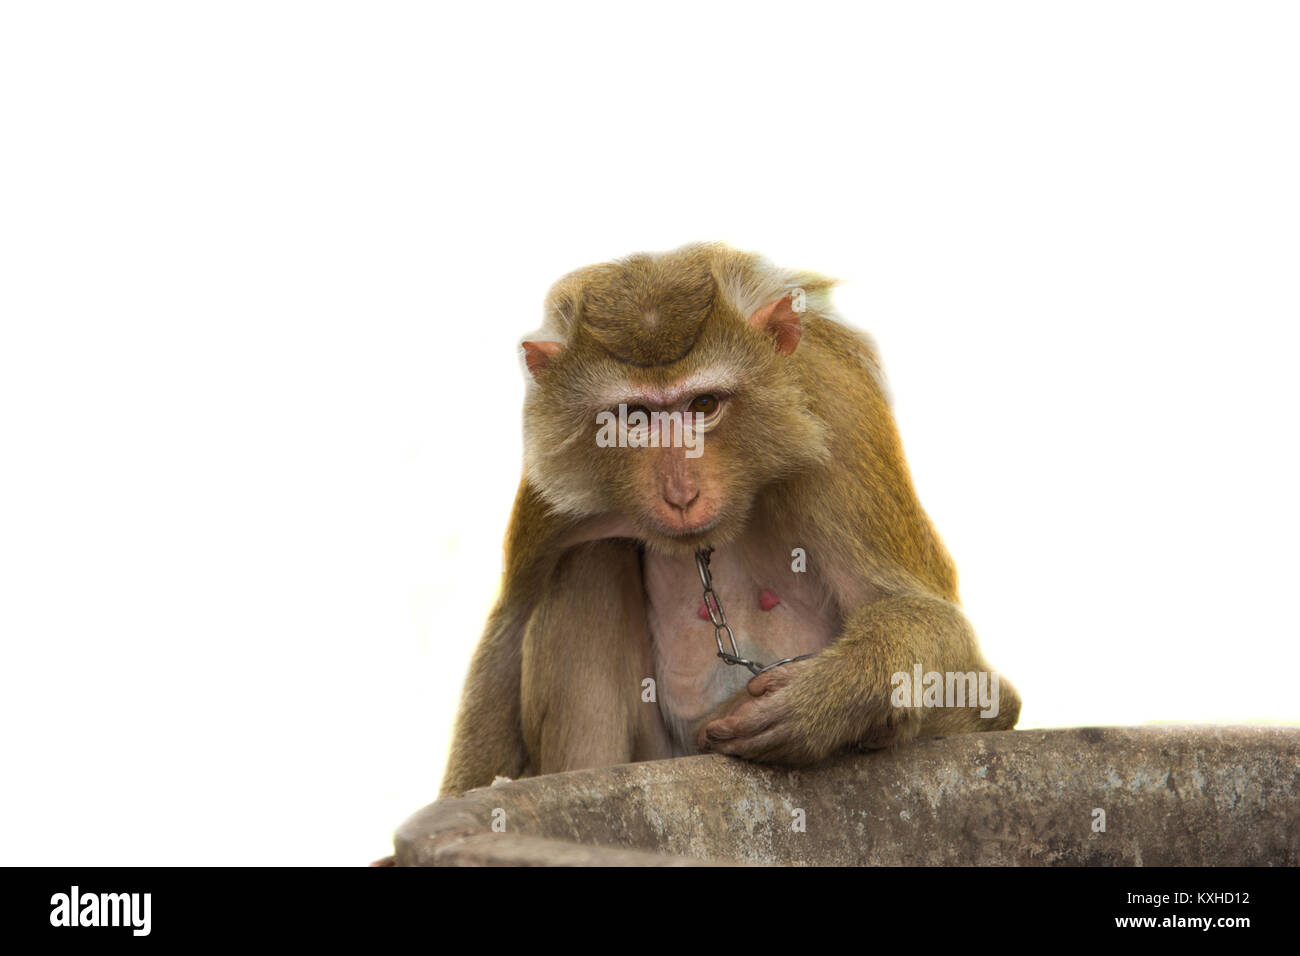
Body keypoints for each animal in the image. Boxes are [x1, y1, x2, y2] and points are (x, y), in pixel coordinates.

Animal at [439, 242, 1019, 796]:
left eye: (704, 405)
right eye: (634, 418)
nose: (681, 493)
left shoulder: (839, 422)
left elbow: (947, 640)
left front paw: (826, 699)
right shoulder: (552, 489)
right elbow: (508, 634)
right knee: (588, 564)